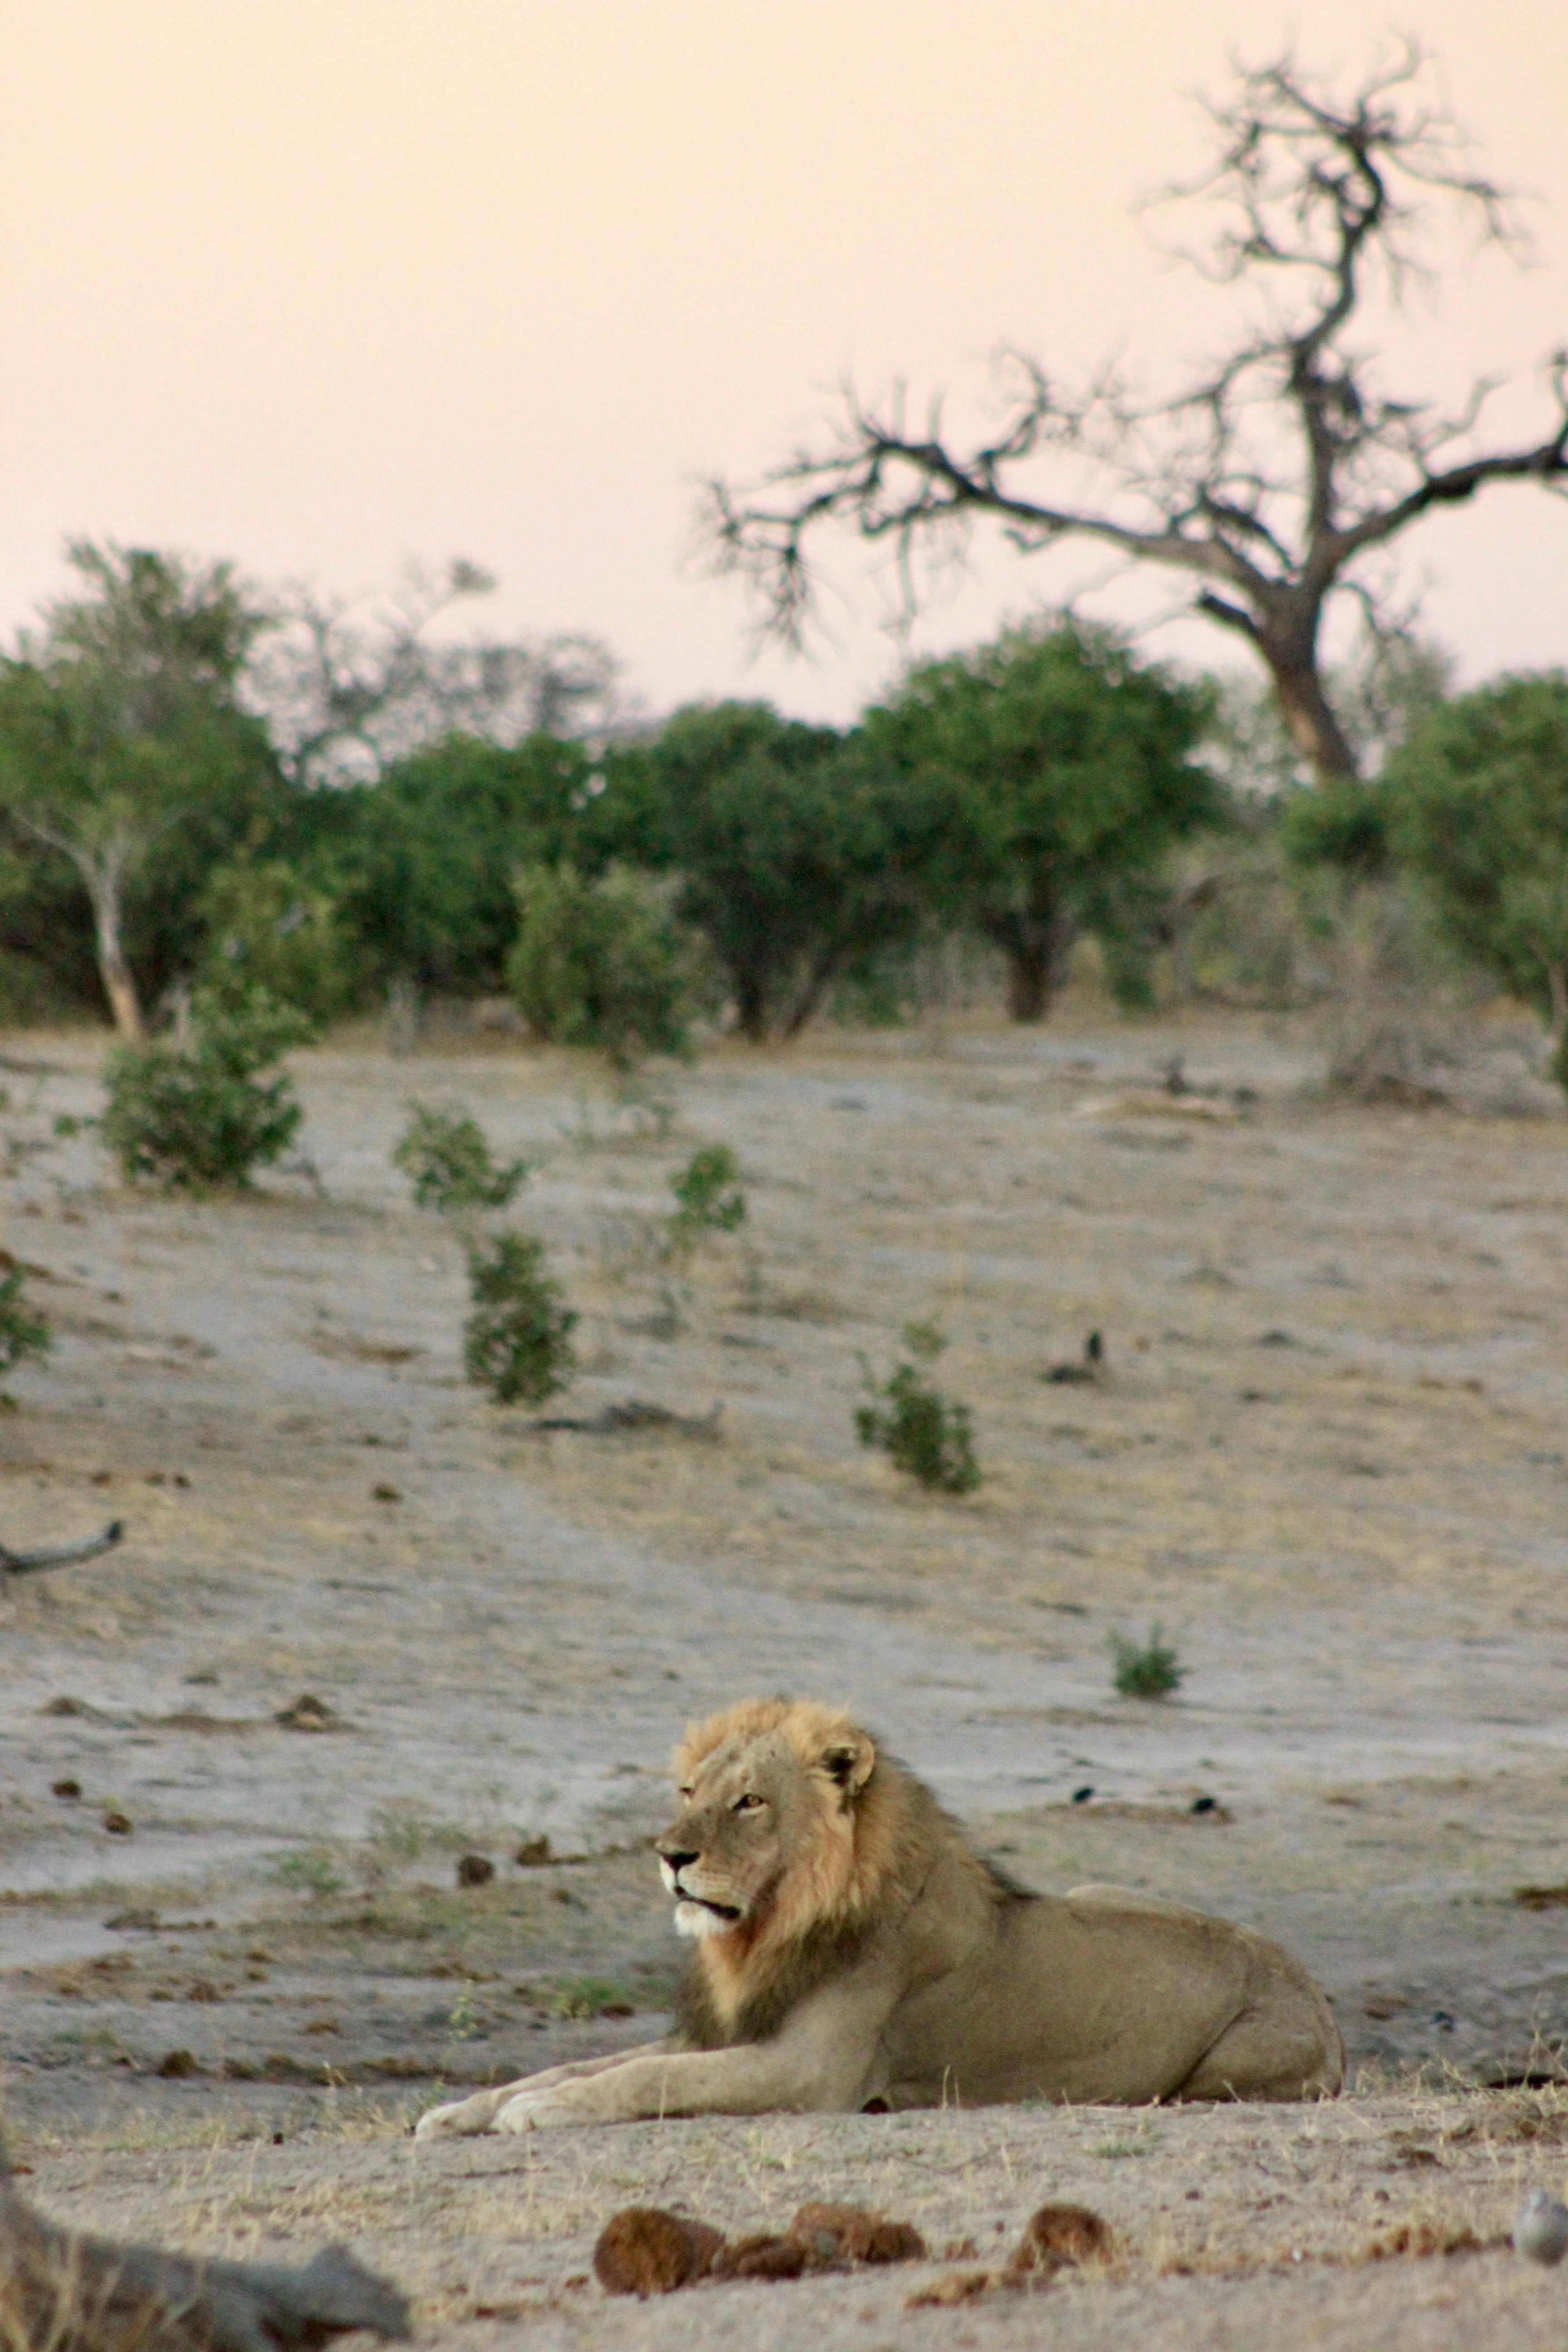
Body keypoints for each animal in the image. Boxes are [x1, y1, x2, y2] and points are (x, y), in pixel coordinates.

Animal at [414, 1697, 1342, 2137]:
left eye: (749, 1801)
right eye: (688, 1791)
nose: (669, 1854)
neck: (771, 1927)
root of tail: (1316, 1990)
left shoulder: (813, 2073)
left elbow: (649, 2079)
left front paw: (538, 2115)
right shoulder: (723, 2030)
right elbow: (578, 2065)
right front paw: (465, 2111)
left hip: (1221, 2073)